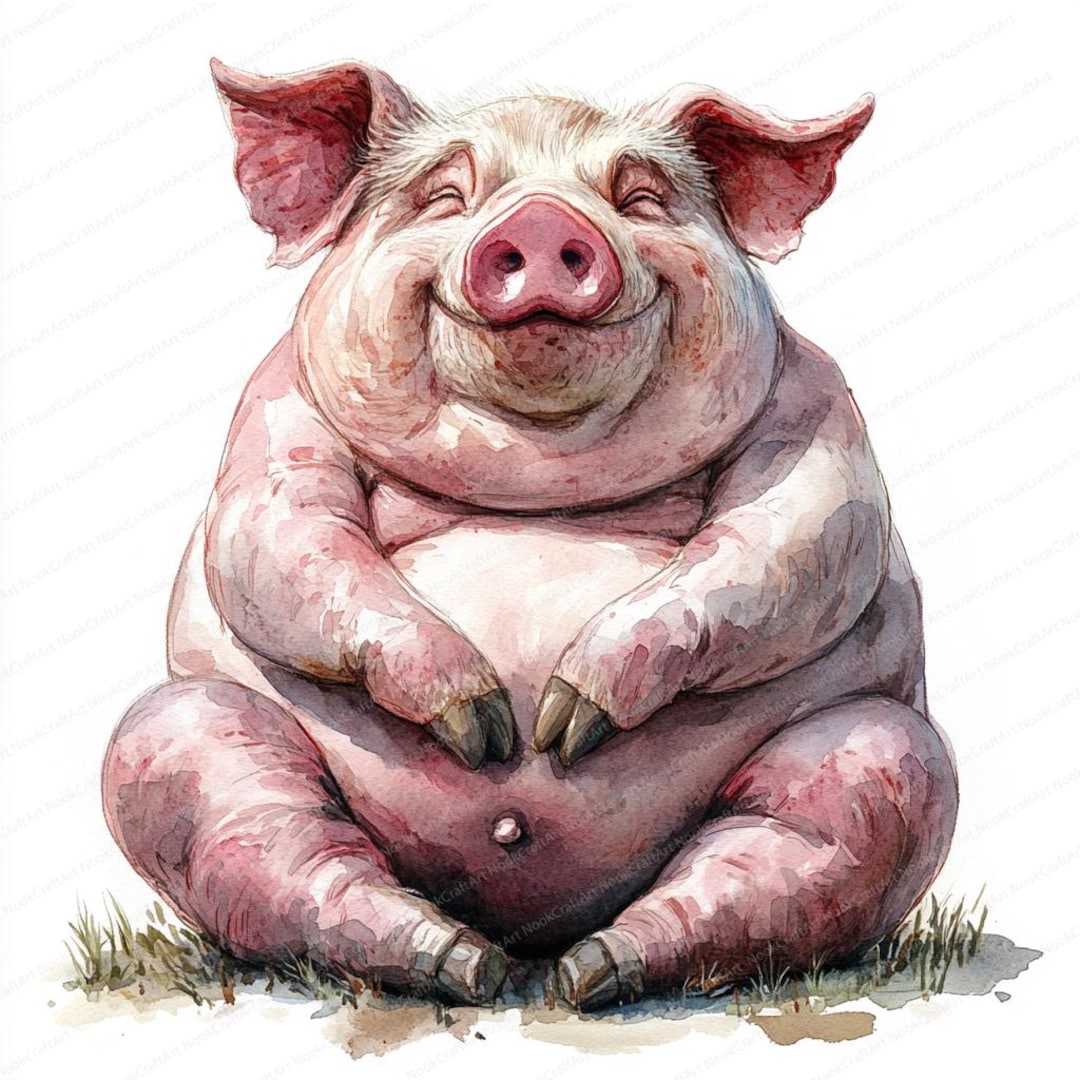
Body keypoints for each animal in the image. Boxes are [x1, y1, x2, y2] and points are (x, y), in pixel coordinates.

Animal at [101, 58, 958, 1011]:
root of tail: (532, 937)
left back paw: (591, 973)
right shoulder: (275, 412)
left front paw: (558, 725)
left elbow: (791, 539)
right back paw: (460, 965)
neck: (541, 474)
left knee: (810, 831)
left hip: (877, 760)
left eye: (640, 197)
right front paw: (487, 731)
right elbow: (279, 540)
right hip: (180, 745)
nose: (544, 221)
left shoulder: (815, 410)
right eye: (446, 196)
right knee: (256, 825)